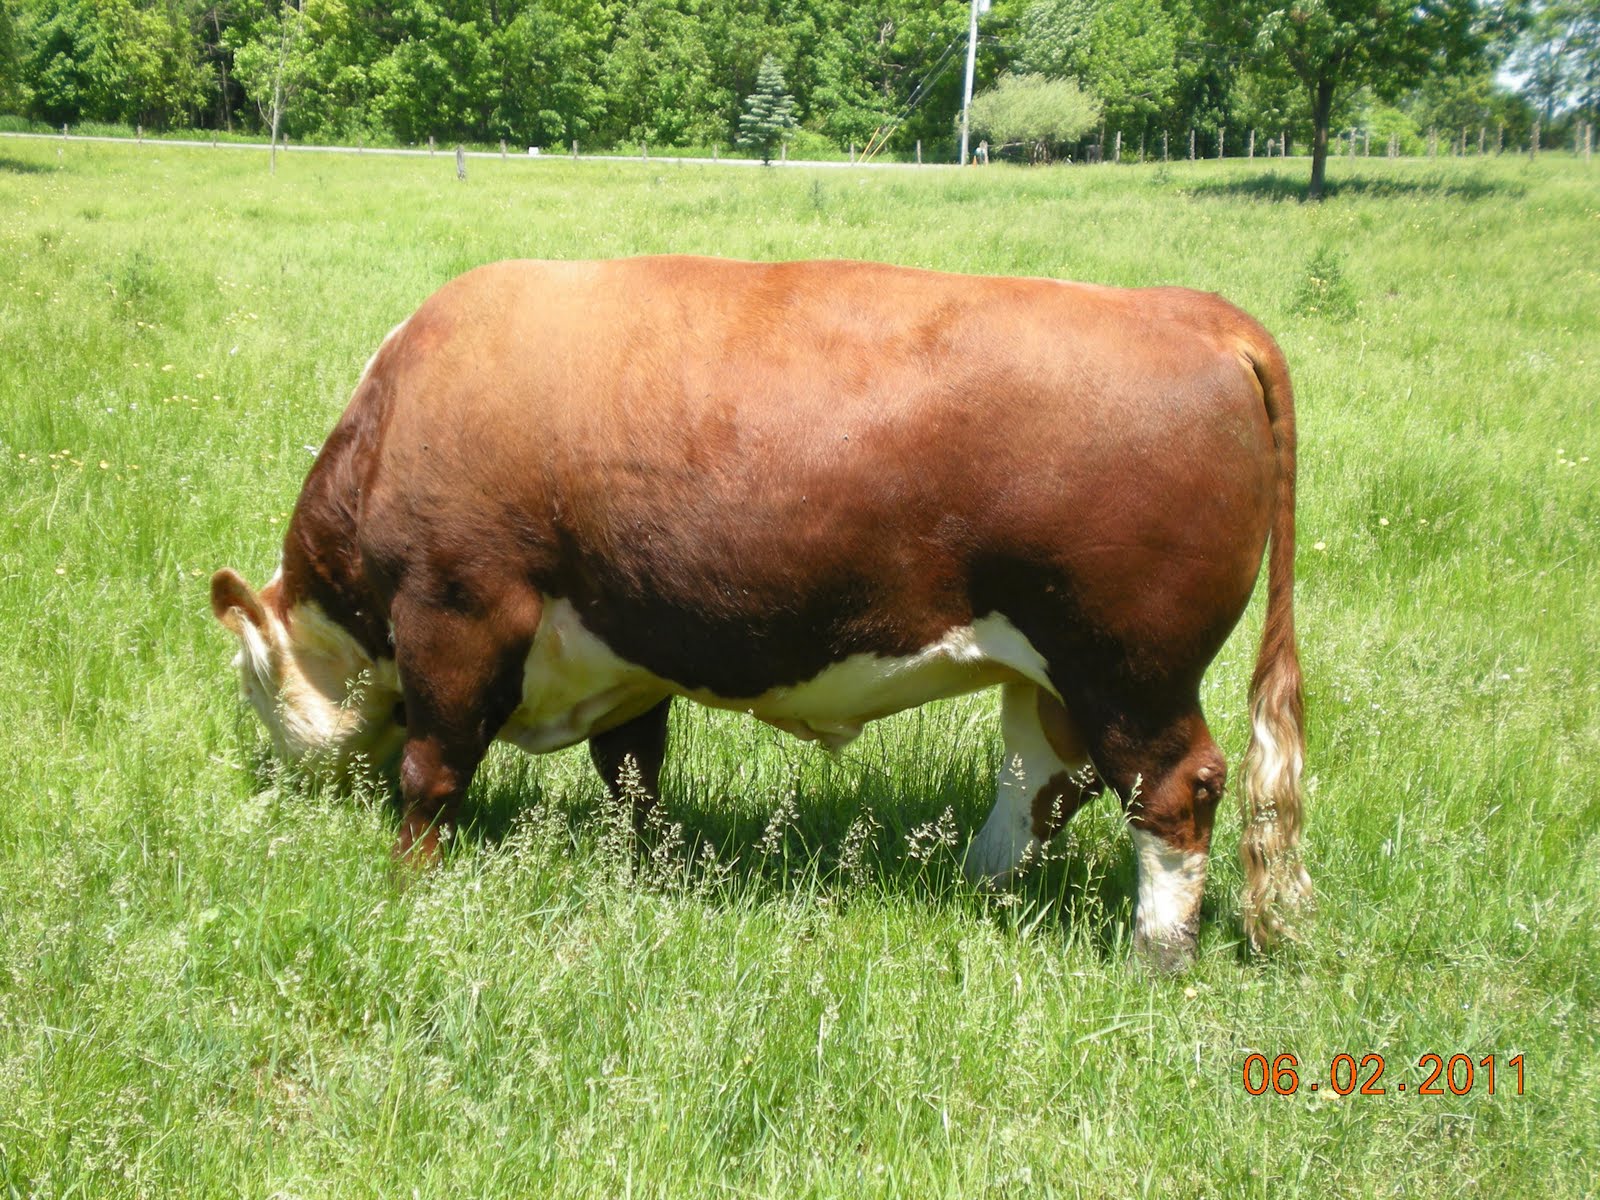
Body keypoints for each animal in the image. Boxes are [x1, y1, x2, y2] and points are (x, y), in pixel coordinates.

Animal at [210, 256, 1310, 971]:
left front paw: (408, 882)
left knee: (1172, 788)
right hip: (1059, 670)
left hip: (1127, 664)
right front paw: (638, 861)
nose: (290, 786)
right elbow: (632, 773)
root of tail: (1194, 313)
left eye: (253, 689)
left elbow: (431, 768)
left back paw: (1156, 954)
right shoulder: (628, 647)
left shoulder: (456, 610)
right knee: (1043, 775)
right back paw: (978, 881)